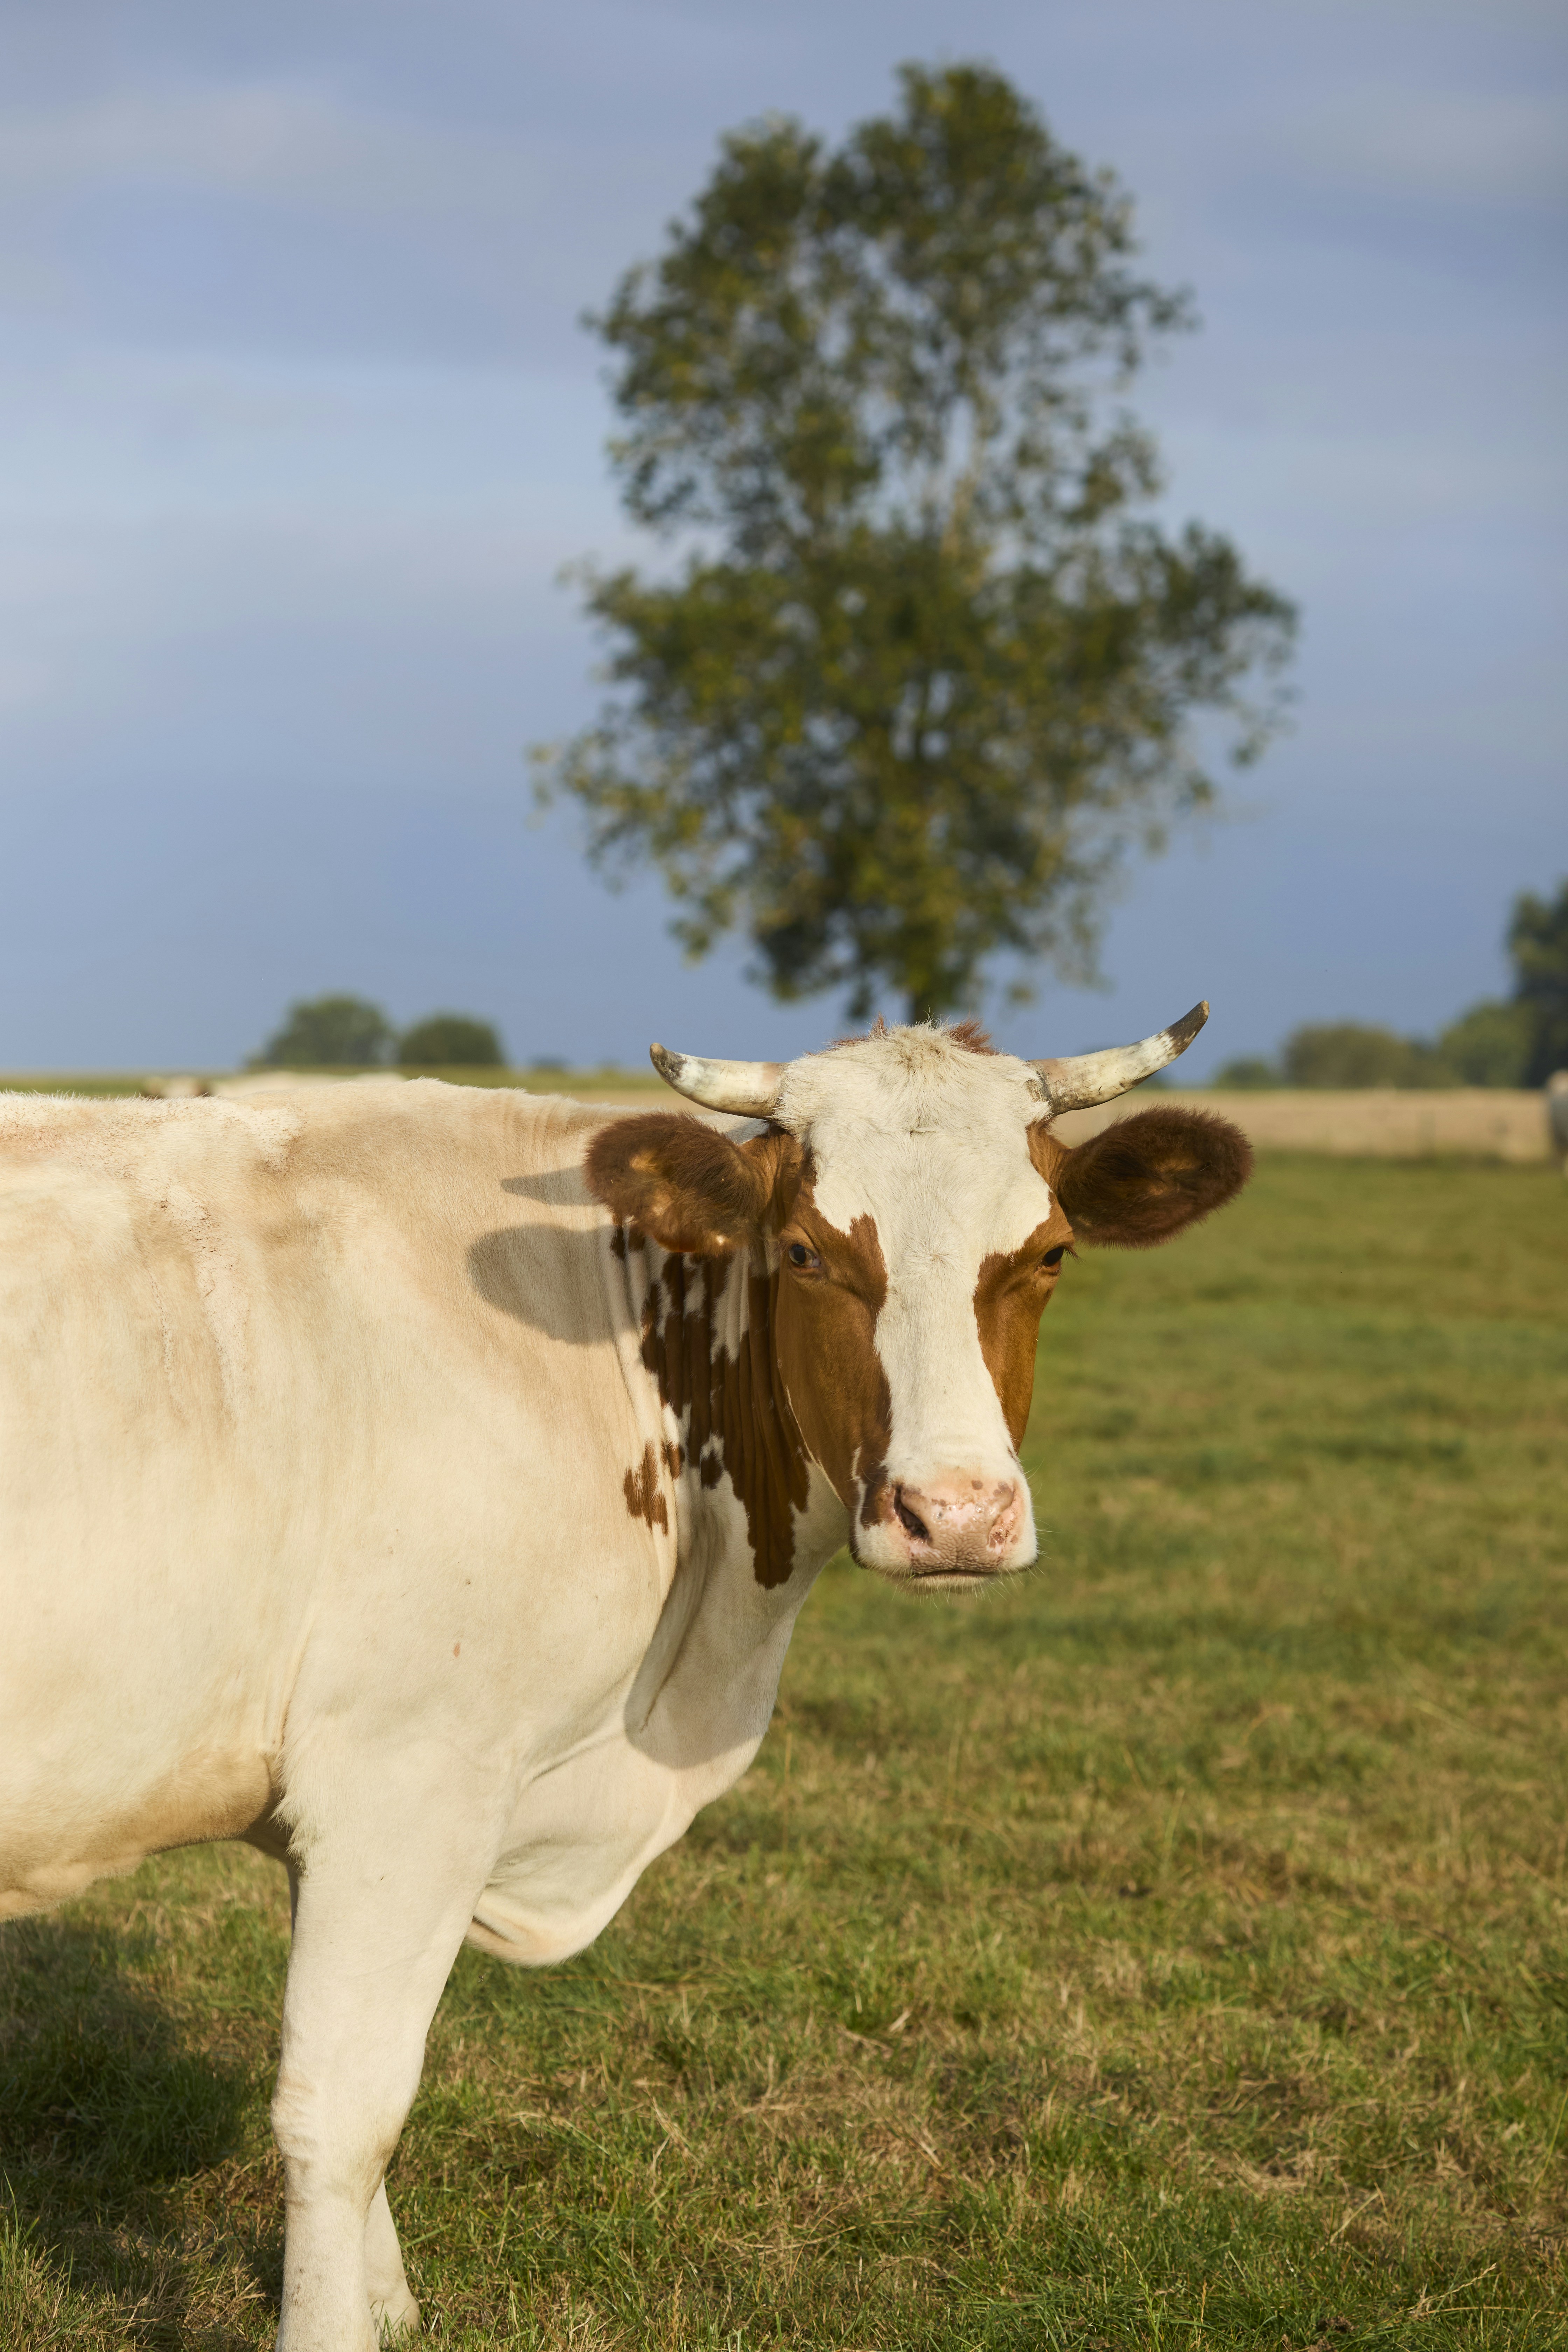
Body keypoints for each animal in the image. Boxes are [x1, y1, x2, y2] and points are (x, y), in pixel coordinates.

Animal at [0, 1009, 1250, 2349]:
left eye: (1051, 1251)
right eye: (803, 1250)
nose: (956, 1513)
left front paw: (386, 2303)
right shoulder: (409, 1776)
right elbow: (344, 2109)